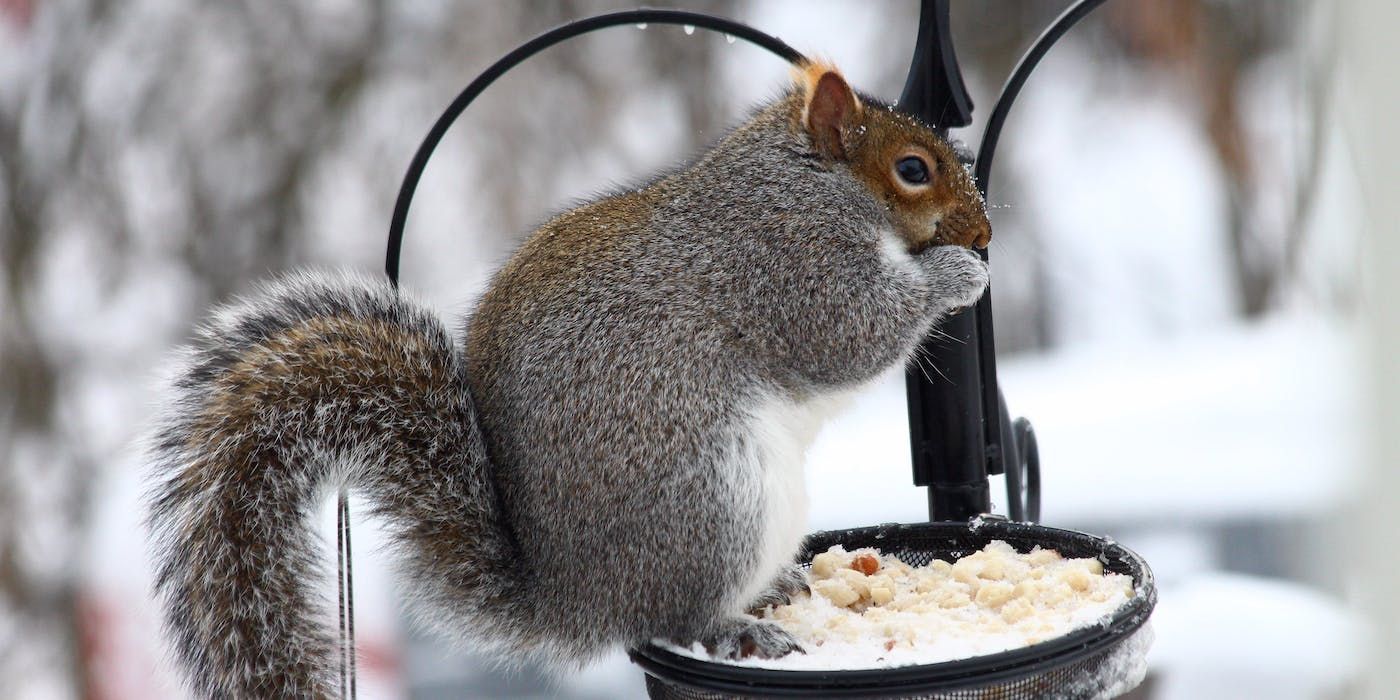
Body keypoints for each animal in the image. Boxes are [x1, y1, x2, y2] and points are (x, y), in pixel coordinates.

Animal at [145, 60, 991, 698]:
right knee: (674, 618)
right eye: (912, 170)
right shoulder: (789, 263)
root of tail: (575, 600)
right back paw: (737, 624)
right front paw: (956, 276)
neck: (807, 179)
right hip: (717, 502)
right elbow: (851, 335)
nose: (984, 233)